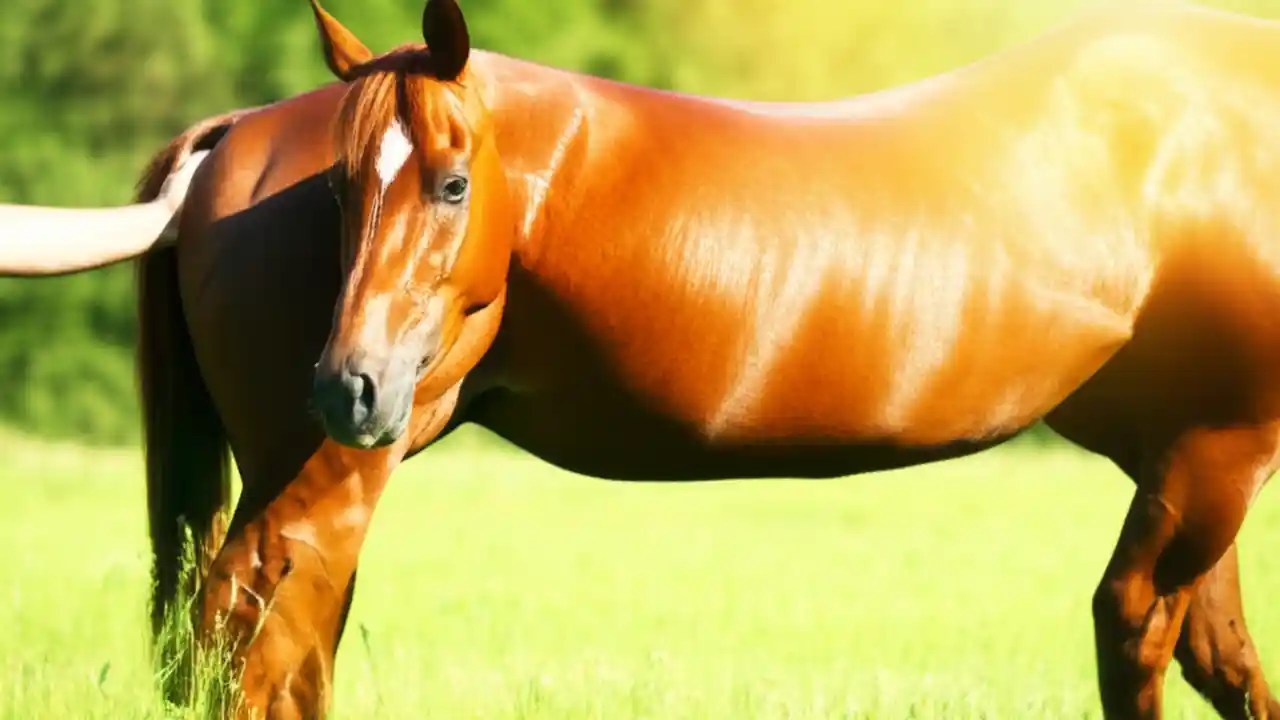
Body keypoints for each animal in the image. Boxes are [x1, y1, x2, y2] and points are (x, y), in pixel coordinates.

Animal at [135, 0, 1280, 717]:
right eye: (340, 188)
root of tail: (230, 135)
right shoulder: (1216, 452)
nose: (348, 385)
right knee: (247, 638)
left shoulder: (1188, 452)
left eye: (452, 183)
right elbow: (1144, 638)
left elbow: (1214, 656)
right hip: (322, 481)